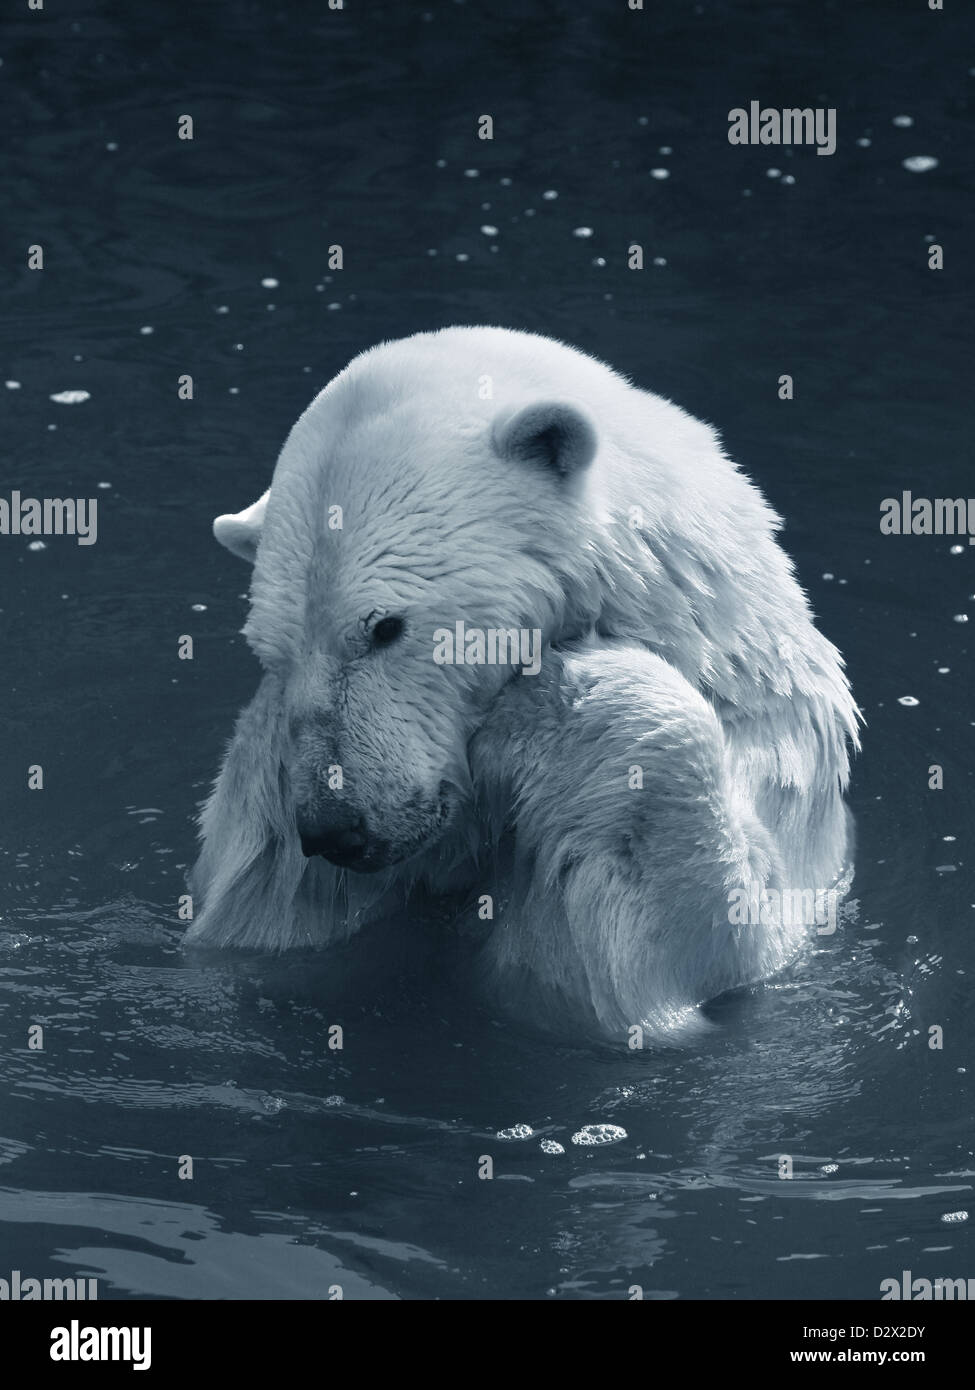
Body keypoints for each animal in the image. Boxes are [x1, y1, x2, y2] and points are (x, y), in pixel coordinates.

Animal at [186, 326, 860, 1041]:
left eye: (385, 627)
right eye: (274, 652)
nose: (334, 828)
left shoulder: (781, 776)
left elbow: (681, 948)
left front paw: (552, 701)